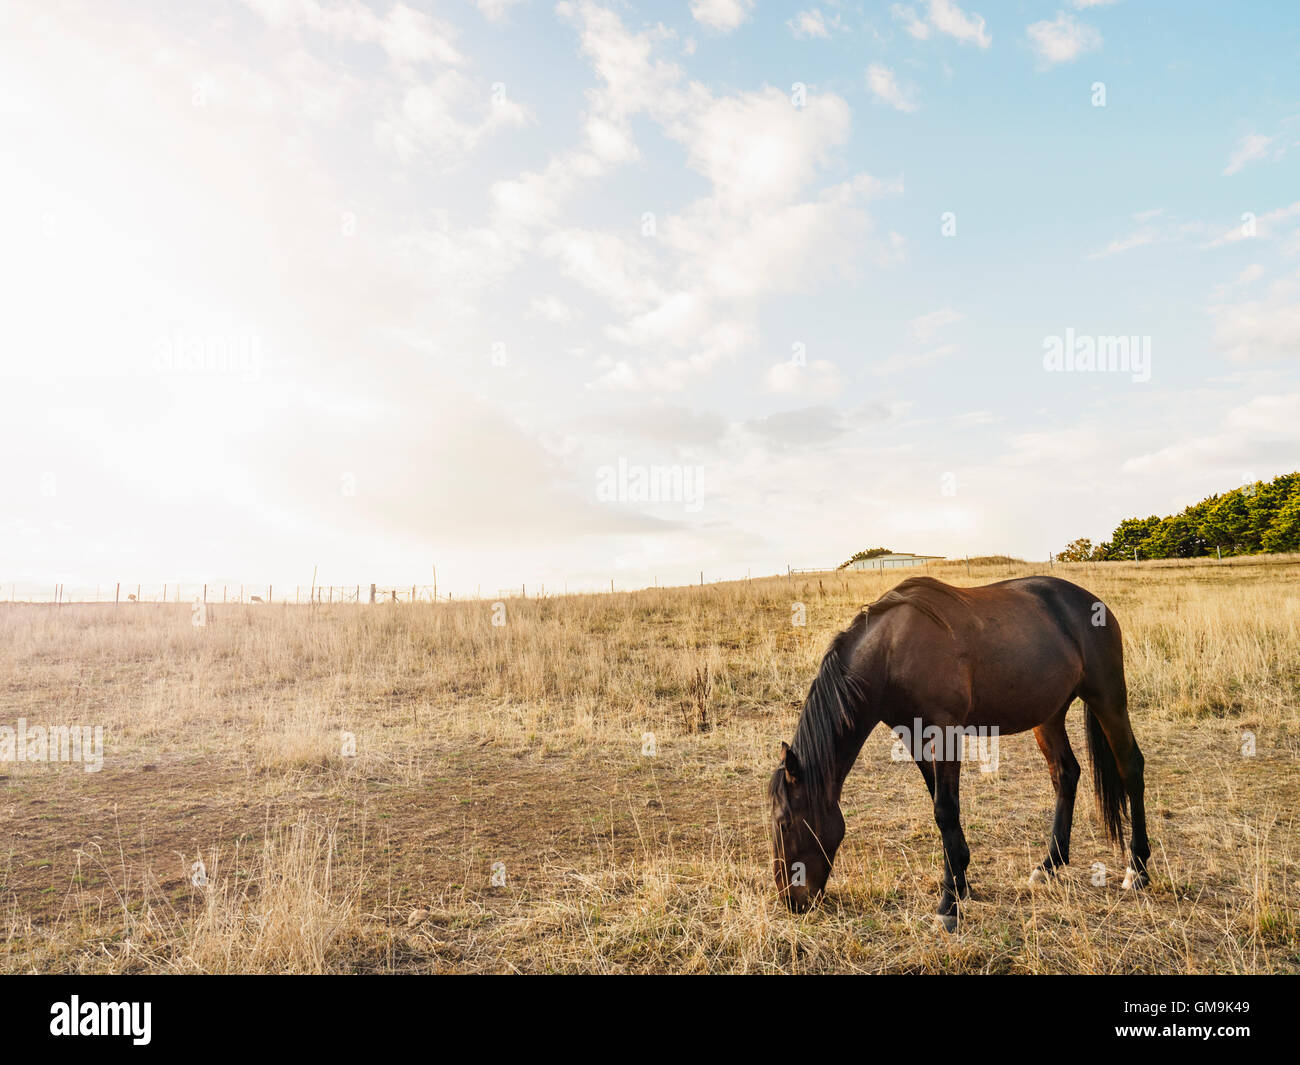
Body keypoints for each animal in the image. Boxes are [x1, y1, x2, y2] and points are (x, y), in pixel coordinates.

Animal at [768, 575, 1149, 931]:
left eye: (785, 823)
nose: (792, 901)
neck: (890, 651)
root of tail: (1093, 603)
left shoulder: (945, 731)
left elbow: (945, 809)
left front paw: (949, 904)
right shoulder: (914, 736)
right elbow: (939, 804)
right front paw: (960, 882)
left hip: (1108, 698)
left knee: (1131, 768)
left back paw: (1138, 869)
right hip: (1050, 714)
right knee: (1065, 774)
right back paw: (1049, 865)